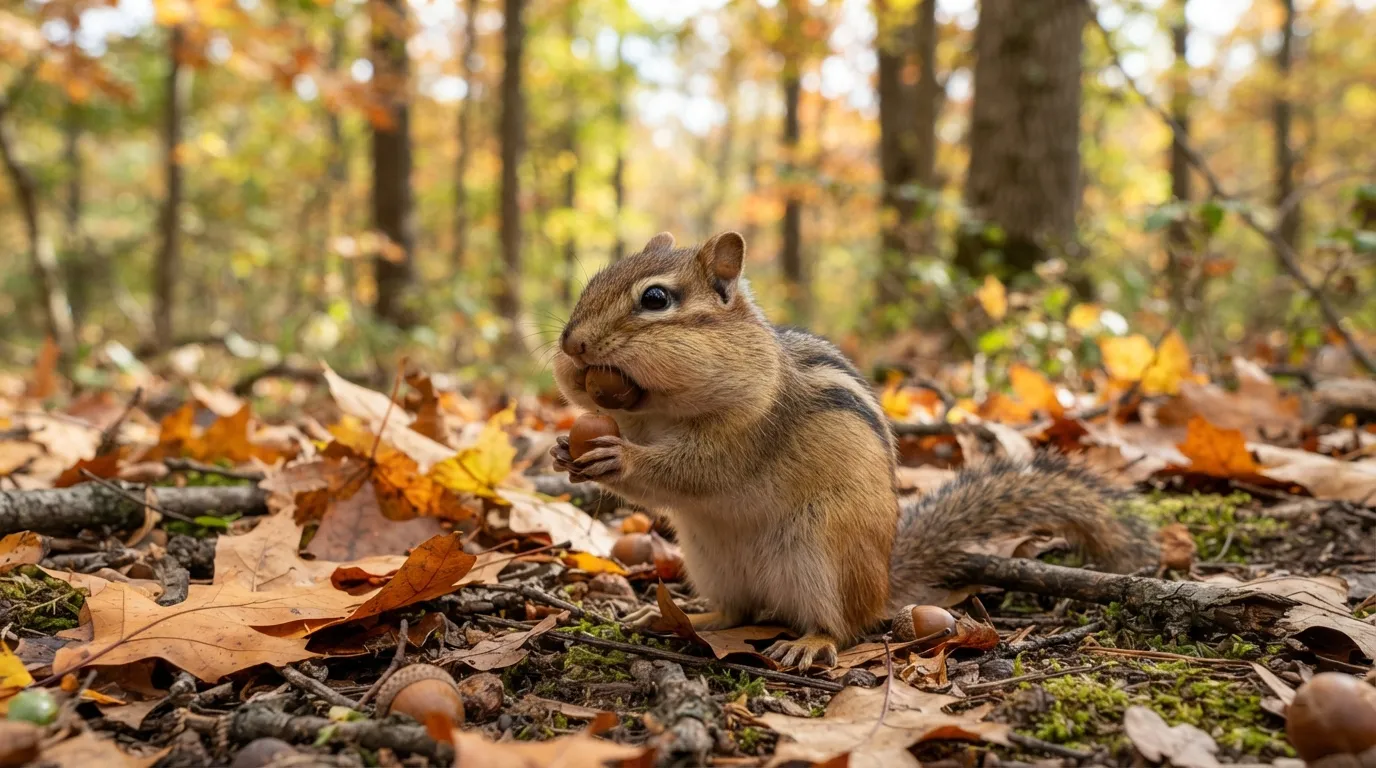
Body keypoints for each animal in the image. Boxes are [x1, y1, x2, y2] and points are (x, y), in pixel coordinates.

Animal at [550, 231, 1156, 669]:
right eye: (594, 281)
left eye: (655, 298)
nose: (571, 343)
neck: (662, 411)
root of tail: (884, 580)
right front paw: (563, 447)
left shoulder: (749, 429)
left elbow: (696, 470)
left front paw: (620, 458)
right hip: (709, 560)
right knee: (735, 610)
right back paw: (684, 620)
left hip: (824, 552)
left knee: (844, 627)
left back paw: (810, 643)